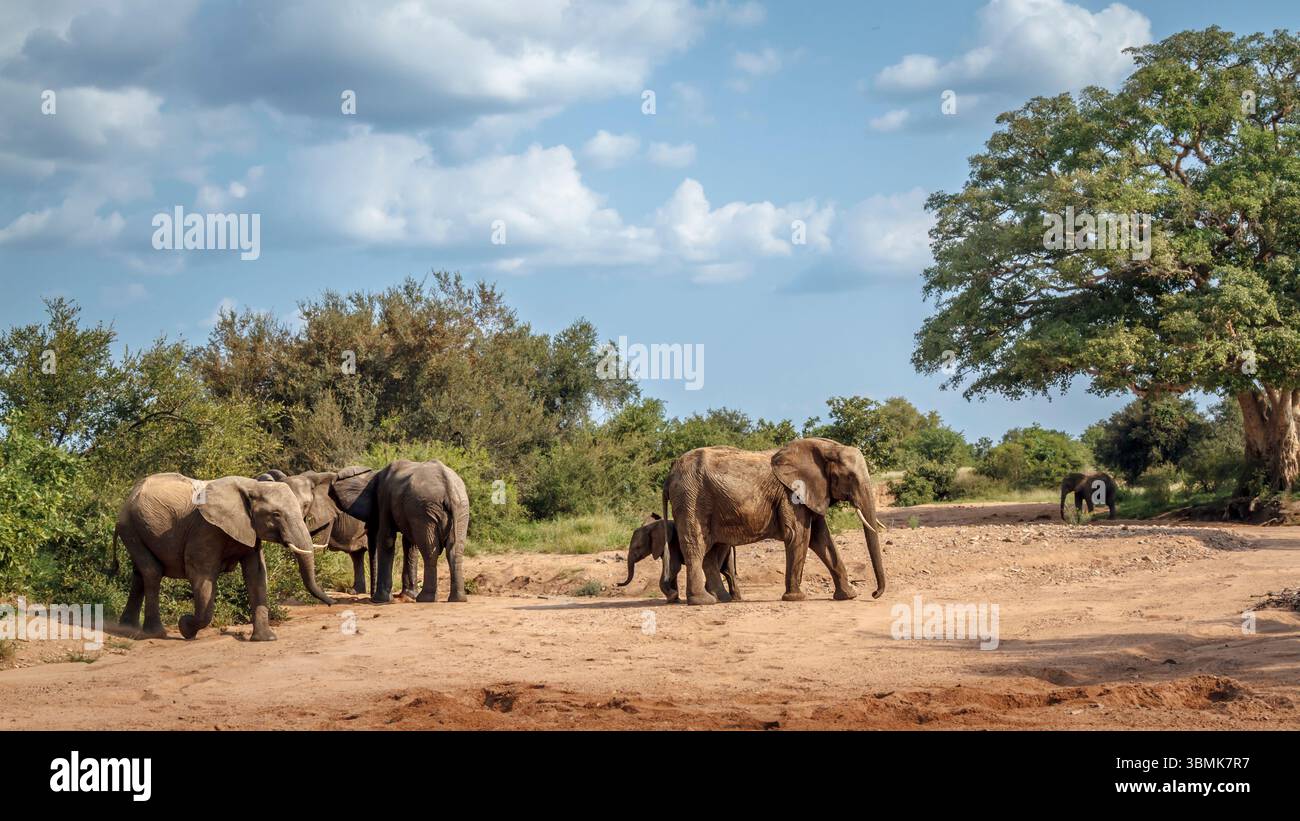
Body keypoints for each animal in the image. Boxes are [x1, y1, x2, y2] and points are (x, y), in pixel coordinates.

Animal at [114, 473, 334, 641]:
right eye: (276, 515)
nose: (331, 603)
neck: (251, 486)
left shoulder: (250, 530)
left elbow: (256, 574)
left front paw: (266, 639)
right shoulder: (206, 529)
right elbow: (201, 575)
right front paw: (185, 626)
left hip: (136, 528)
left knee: (140, 573)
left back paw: (127, 628)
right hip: (130, 527)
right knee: (152, 572)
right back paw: (155, 634)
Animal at [329, 460, 470, 603]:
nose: (370, 597)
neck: (373, 476)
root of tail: (449, 488)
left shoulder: (385, 498)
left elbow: (386, 538)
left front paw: (381, 600)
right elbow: (410, 543)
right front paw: (407, 596)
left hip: (425, 509)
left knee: (430, 551)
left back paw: (425, 599)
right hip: (460, 509)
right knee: (455, 550)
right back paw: (458, 599)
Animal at [664, 437, 887, 606]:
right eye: (850, 477)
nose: (874, 594)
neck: (827, 448)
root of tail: (671, 472)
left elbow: (821, 539)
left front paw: (848, 596)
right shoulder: (791, 495)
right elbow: (799, 535)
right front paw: (795, 598)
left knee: (713, 551)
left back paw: (722, 599)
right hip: (691, 499)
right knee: (696, 544)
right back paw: (703, 601)